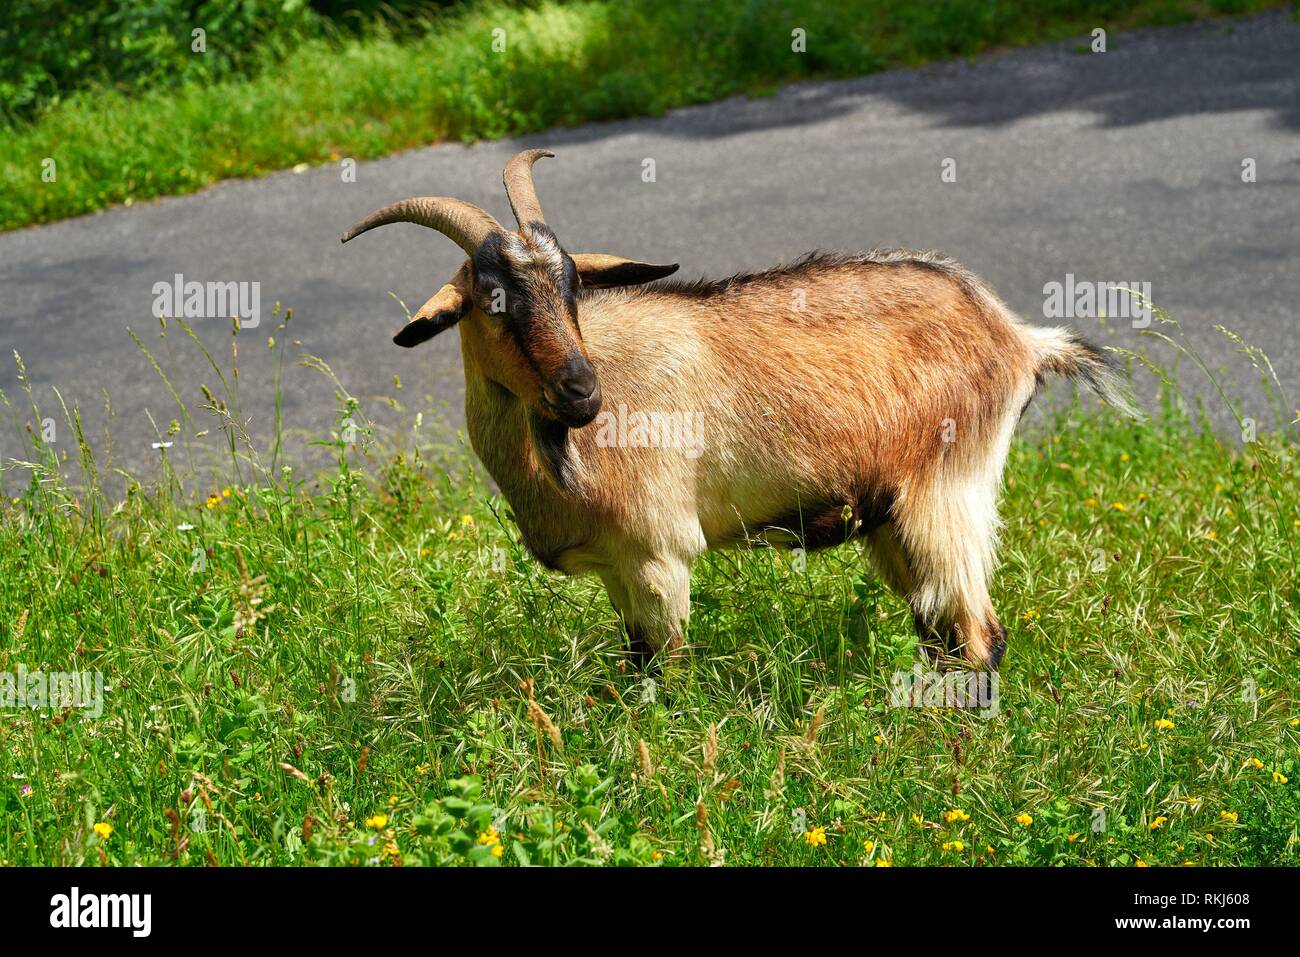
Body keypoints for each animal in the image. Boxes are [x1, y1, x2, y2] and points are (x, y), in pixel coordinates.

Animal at [342, 149, 1138, 669]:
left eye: (571, 284)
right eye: (493, 298)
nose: (582, 391)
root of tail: (1017, 338)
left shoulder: (659, 556)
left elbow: (663, 677)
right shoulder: (615, 570)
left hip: (944, 492)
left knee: (978, 637)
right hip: (889, 517)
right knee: (942, 634)